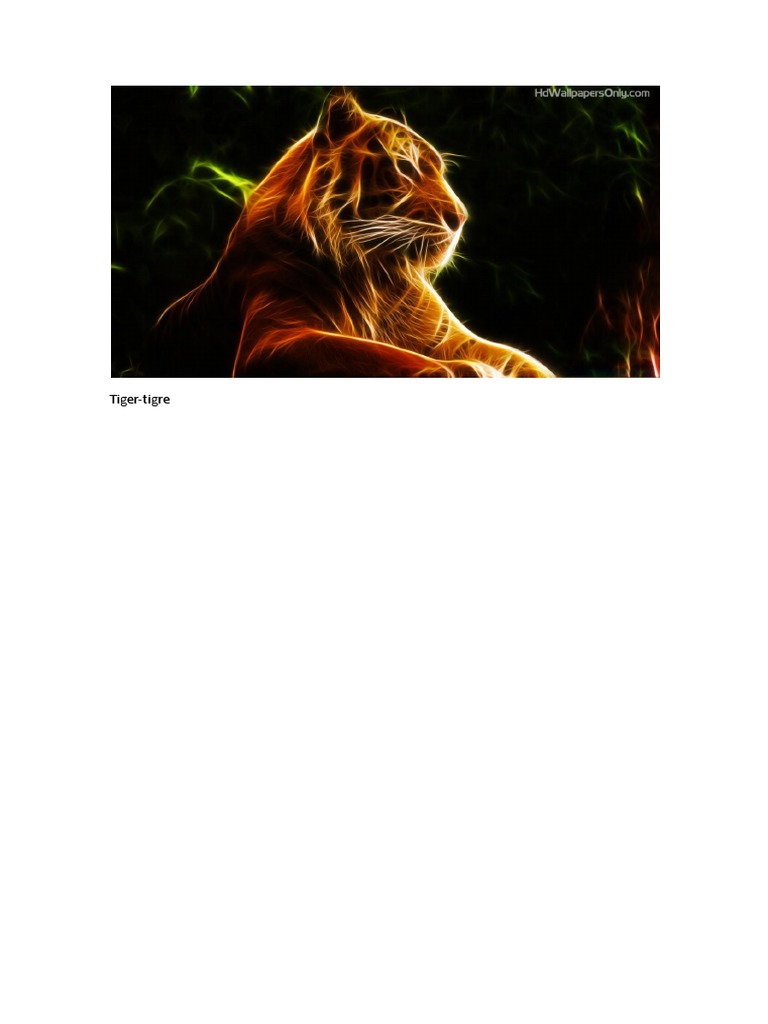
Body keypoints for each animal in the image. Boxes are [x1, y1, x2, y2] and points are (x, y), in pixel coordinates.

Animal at [156, 90, 554, 378]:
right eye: (405, 167)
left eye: (440, 171)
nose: (460, 217)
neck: (377, 279)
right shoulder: (273, 337)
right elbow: (377, 355)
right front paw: (469, 371)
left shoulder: (452, 337)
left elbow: (525, 362)